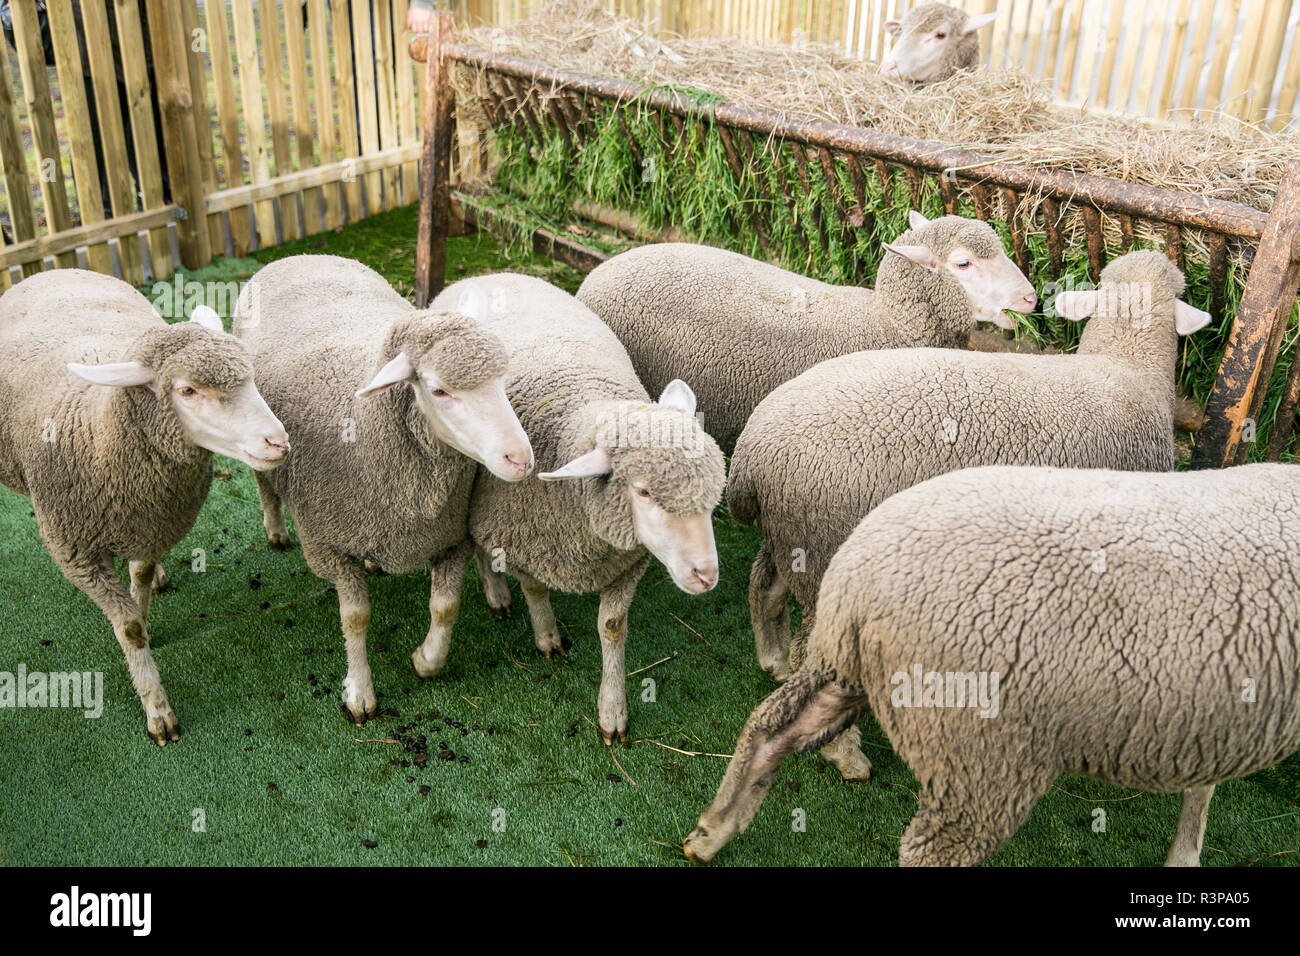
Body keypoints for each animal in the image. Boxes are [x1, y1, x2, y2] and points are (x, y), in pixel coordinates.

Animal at [0, 269, 289, 745]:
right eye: (187, 390)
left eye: (250, 377)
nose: (278, 441)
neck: (99, 434)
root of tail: (54, 270)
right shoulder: (76, 553)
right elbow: (129, 629)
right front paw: (157, 709)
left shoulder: (152, 524)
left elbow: (138, 581)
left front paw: (148, 604)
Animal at [232, 255, 534, 724]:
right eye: (439, 390)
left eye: (503, 378)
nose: (521, 459)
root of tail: (300, 256)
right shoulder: (330, 547)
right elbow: (355, 619)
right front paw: (359, 692)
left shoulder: (453, 537)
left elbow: (445, 608)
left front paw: (426, 661)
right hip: (261, 441)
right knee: (265, 484)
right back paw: (277, 530)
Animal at [431, 273, 726, 744]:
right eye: (644, 492)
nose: (706, 576)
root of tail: (491, 274)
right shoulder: (524, 544)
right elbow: (535, 592)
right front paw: (547, 636)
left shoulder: (626, 562)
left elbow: (612, 627)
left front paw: (612, 710)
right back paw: (497, 594)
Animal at [684, 462, 1300, 867]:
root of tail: (859, 575)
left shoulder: (1222, 708)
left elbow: (1206, 784)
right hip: (981, 753)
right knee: (931, 851)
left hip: (856, 668)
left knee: (772, 728)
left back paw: (711, 832)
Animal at [731, 250, 1210, 777]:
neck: (1126, 362)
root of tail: (751, 455)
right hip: (824, 550)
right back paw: (845, 753)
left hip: (792, 536)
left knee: (765, 584)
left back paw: (771, 660)